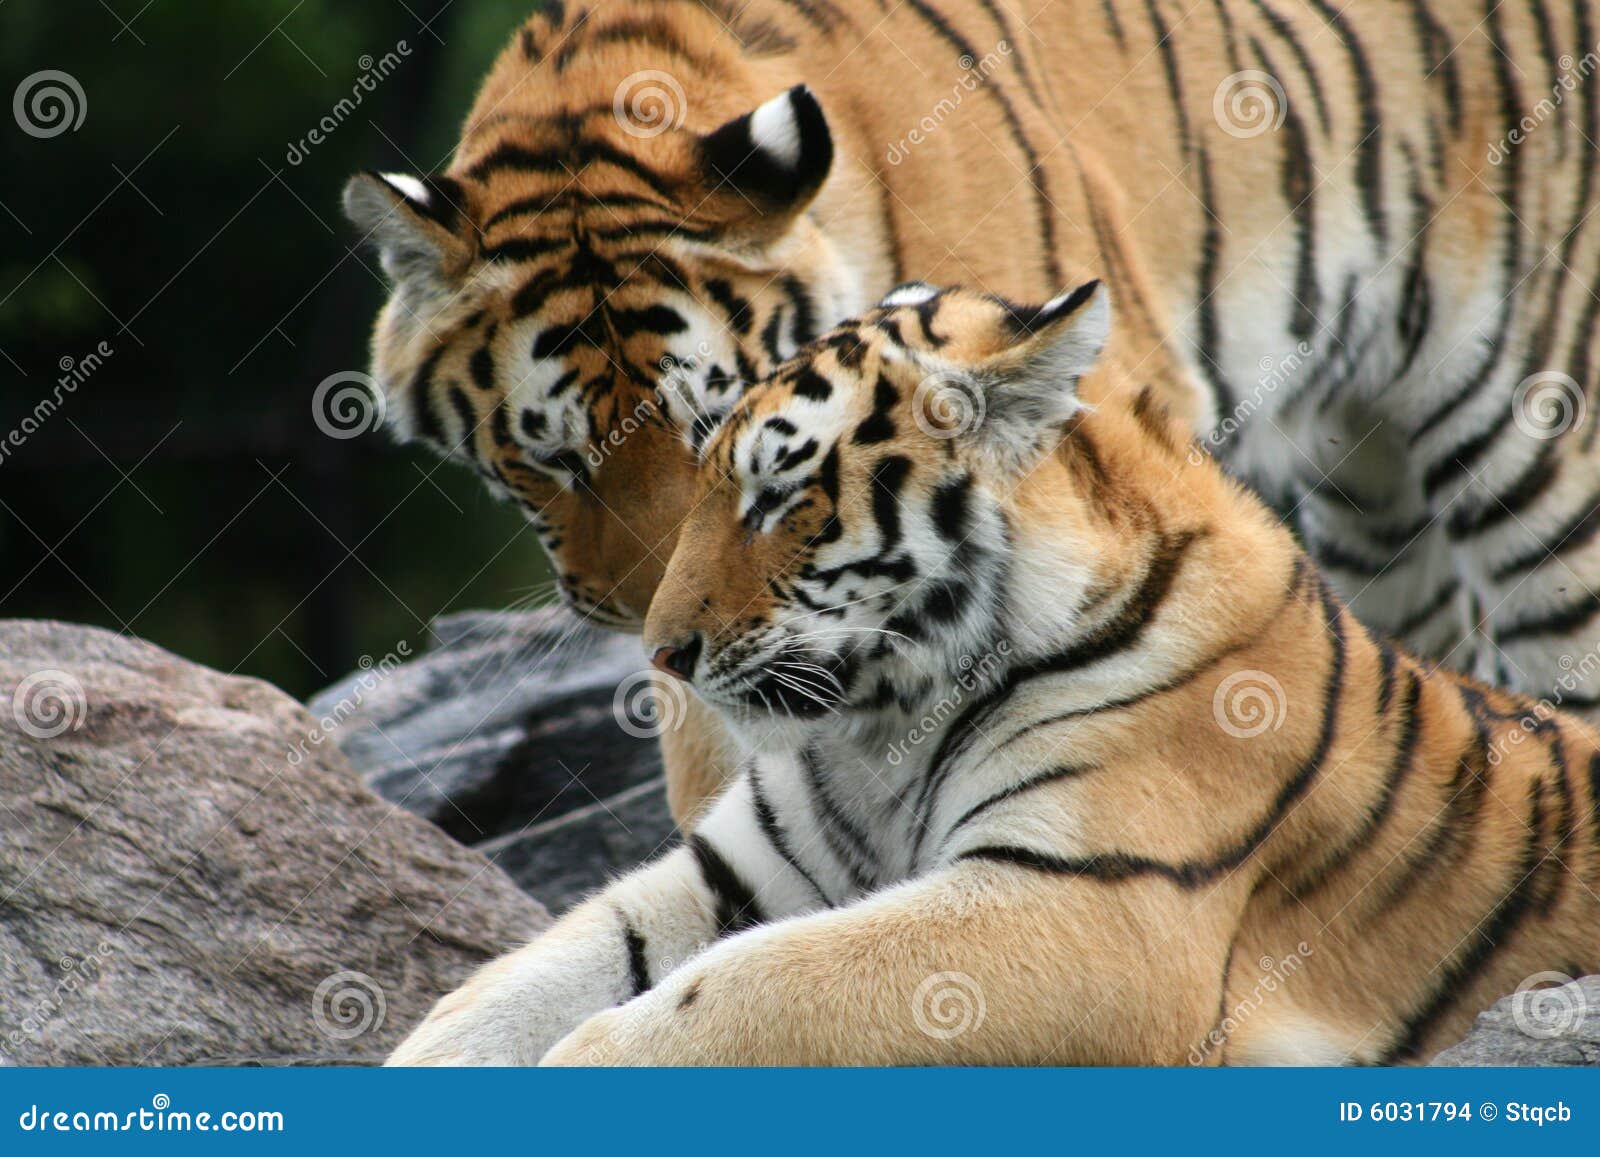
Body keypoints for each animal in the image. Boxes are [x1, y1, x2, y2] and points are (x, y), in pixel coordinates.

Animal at [387, 282, 1600, 1066]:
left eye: (779, 494)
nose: (660, 651)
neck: (885, 725)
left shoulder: (1089, 908)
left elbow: (745, 991)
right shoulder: (741, 870)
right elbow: (504, 985)